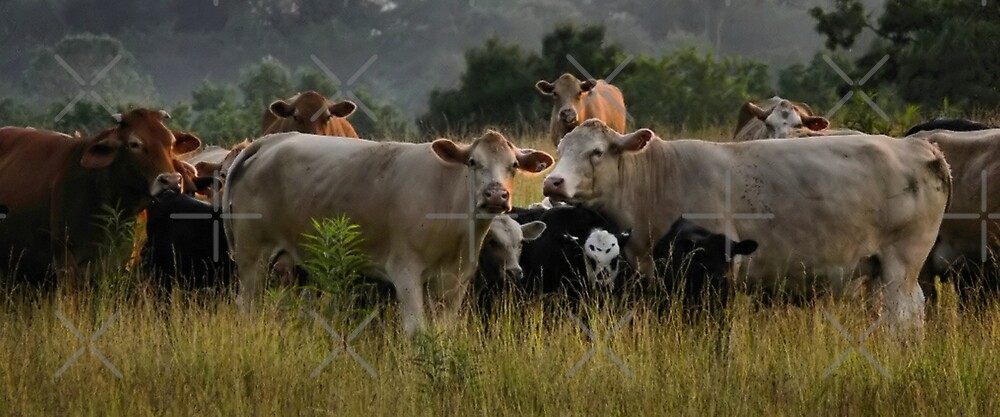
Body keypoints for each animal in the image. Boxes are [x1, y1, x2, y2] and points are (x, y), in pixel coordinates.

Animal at [223, 131, 553, 336]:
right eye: (473, 162)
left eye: (513, 165)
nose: (496, 195)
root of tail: (271, 141)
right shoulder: (405, 270)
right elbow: (417, 332)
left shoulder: (454, 280)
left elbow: (444, 332)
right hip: (252, 257)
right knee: (247, 308)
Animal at [543, 119, 951, 337]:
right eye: (561, 150)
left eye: (596, 152)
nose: (552, 182)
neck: (657, 179)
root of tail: (924, 150)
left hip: (901, 265)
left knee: (905, 314)